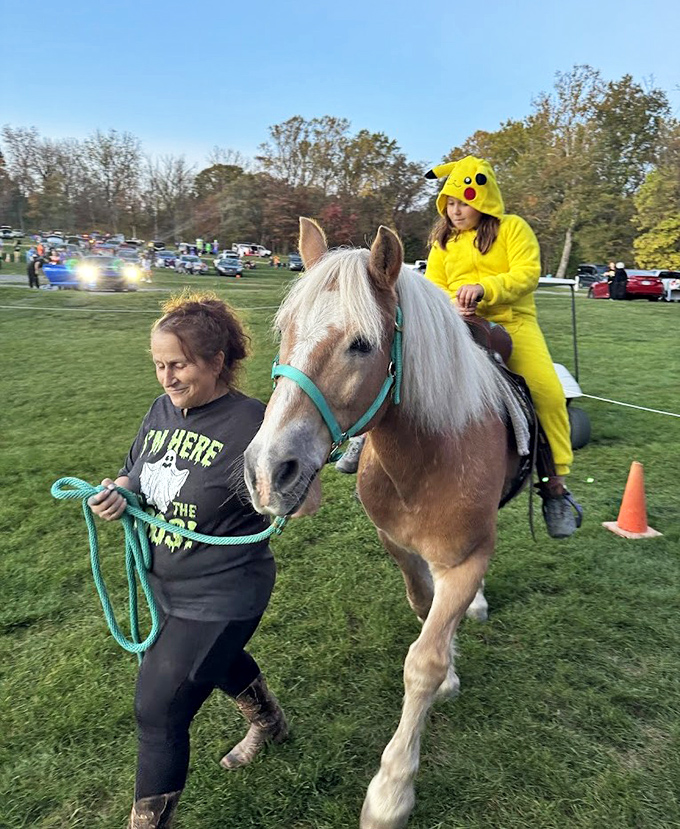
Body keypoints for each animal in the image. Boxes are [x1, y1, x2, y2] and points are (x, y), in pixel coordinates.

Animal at [243, 218, 525, 829]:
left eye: (361, 344)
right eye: (285, 331)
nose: (267, 471)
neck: (430, 455)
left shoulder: (464, 559)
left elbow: (423, 660)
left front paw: (392, 790)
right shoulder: (398, 545)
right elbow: (425, 611)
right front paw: (451, 669)